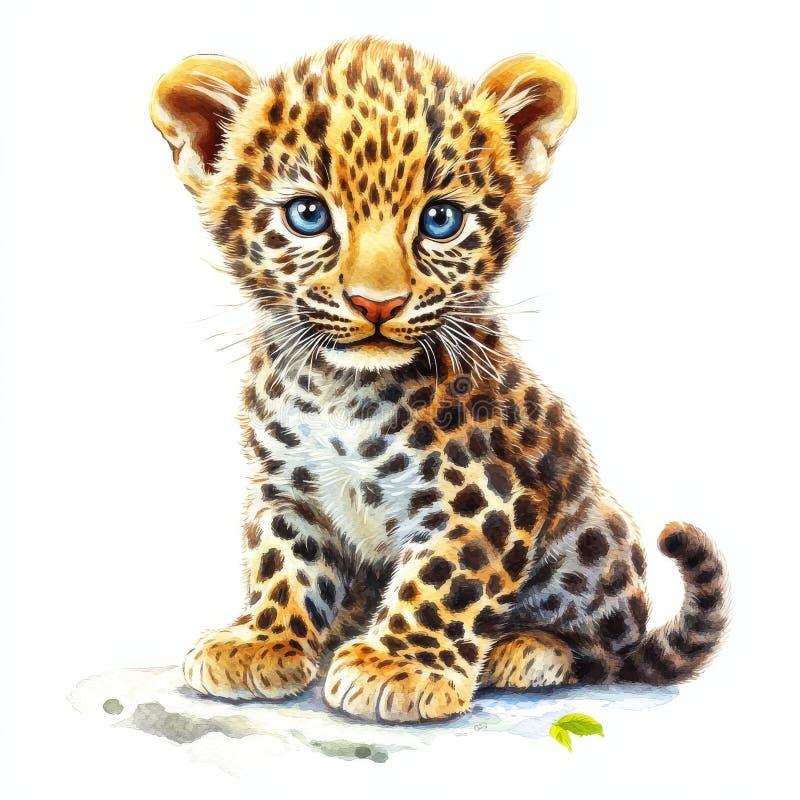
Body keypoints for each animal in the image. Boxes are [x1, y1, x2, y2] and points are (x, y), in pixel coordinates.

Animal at [150, 37, 729, 723]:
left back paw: (528, 649)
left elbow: (443, 578)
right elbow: (285, 560)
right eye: (308, 215)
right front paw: (261, 641)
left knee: (607, 645)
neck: (338, 389)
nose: (376, 304)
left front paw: (400, 667)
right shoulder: (286, 489)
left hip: (599, 536)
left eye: (441, 219)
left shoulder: (485, 496)